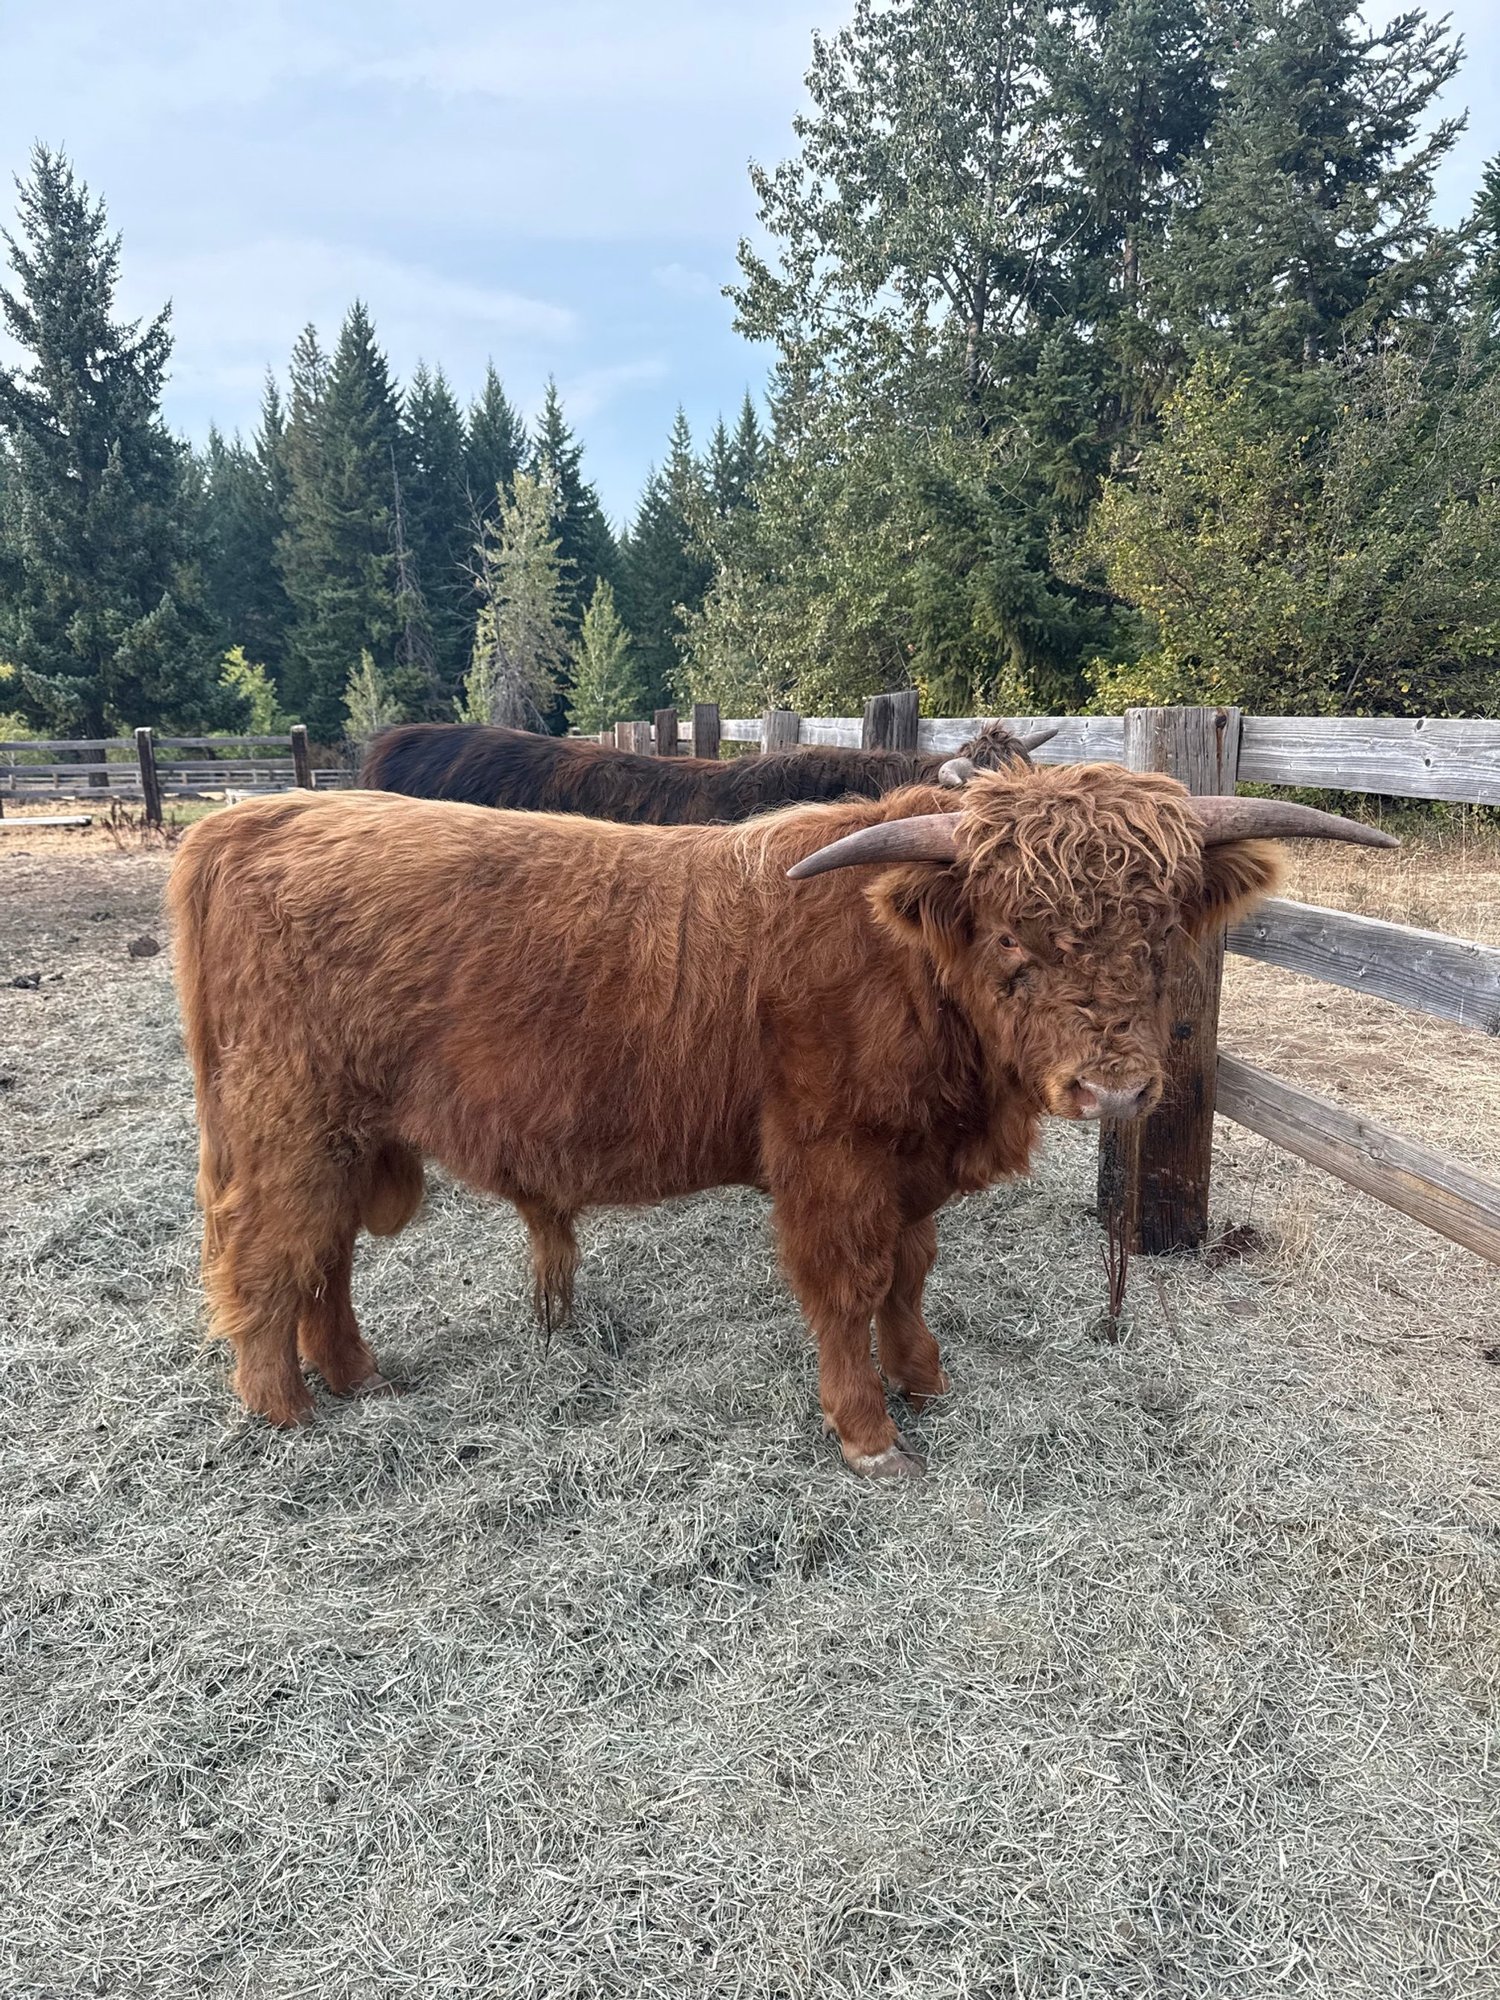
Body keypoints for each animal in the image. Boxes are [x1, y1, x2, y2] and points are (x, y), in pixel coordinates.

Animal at [168, 767, 1393, 1476]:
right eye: (1013, 938)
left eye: (1159, 934)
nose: (1117, 1091)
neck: (909, 970)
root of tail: (254, 819)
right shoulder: (831, 1160)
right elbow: (848, 1286)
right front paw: (869, 1433)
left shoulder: (909, 1166)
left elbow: (909, 1275)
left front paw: (925, 1376)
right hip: (288, 1124)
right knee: (270, 1255)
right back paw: (285, 1410)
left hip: (348, 1134)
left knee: (322, 1257)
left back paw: (355, 1375)